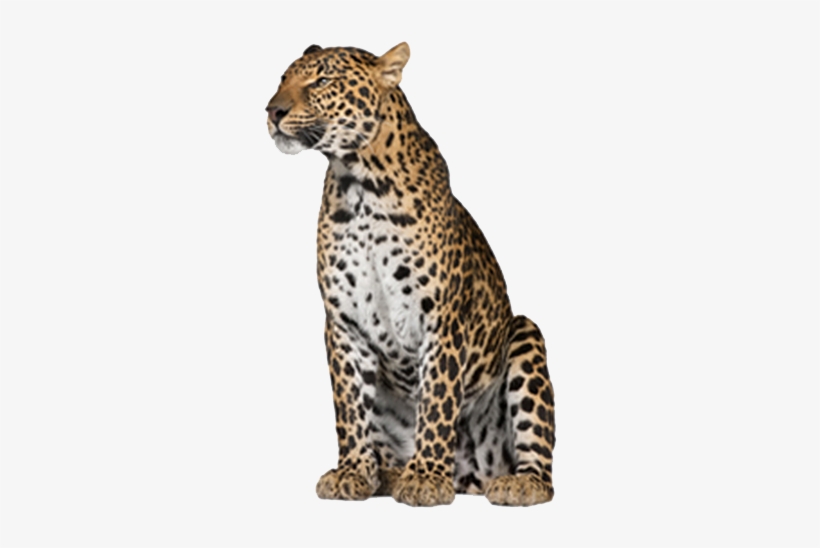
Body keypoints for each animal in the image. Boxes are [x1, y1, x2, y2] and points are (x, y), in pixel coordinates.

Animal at [265, 43, 555, 506]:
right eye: (282, 79)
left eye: (322, 80)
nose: (272, 110)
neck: (360, 184)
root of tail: (471, 475)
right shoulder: (343, 323)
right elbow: (349, 406)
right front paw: (352, 471)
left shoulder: (442, 319)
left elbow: (437, 399)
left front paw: (426, 479)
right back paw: (387, 474)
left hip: (527, 335)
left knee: (541, 467)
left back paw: (514, 484)